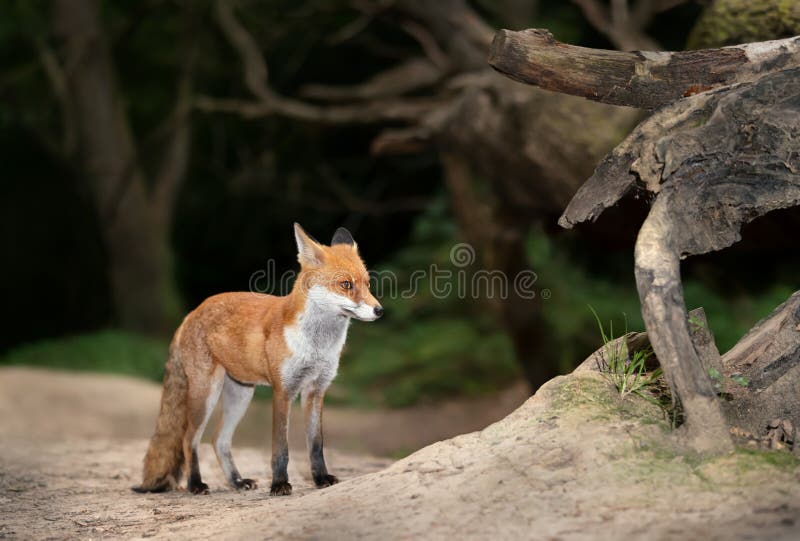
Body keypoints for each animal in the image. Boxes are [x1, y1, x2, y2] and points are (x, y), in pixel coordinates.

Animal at [133, 223, 382, 495]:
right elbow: (281, 449)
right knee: (190, 440)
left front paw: (320, 479)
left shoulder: (316, 390)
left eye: (368, 284)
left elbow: (316, 445)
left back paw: (236, 481)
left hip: (241, 395)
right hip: (206, 394)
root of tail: (191, 312)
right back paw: (195, 484)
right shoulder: (283, 391)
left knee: (218, 440)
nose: (379, 310)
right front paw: (279, 484)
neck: (317, 345)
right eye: (346, 284)